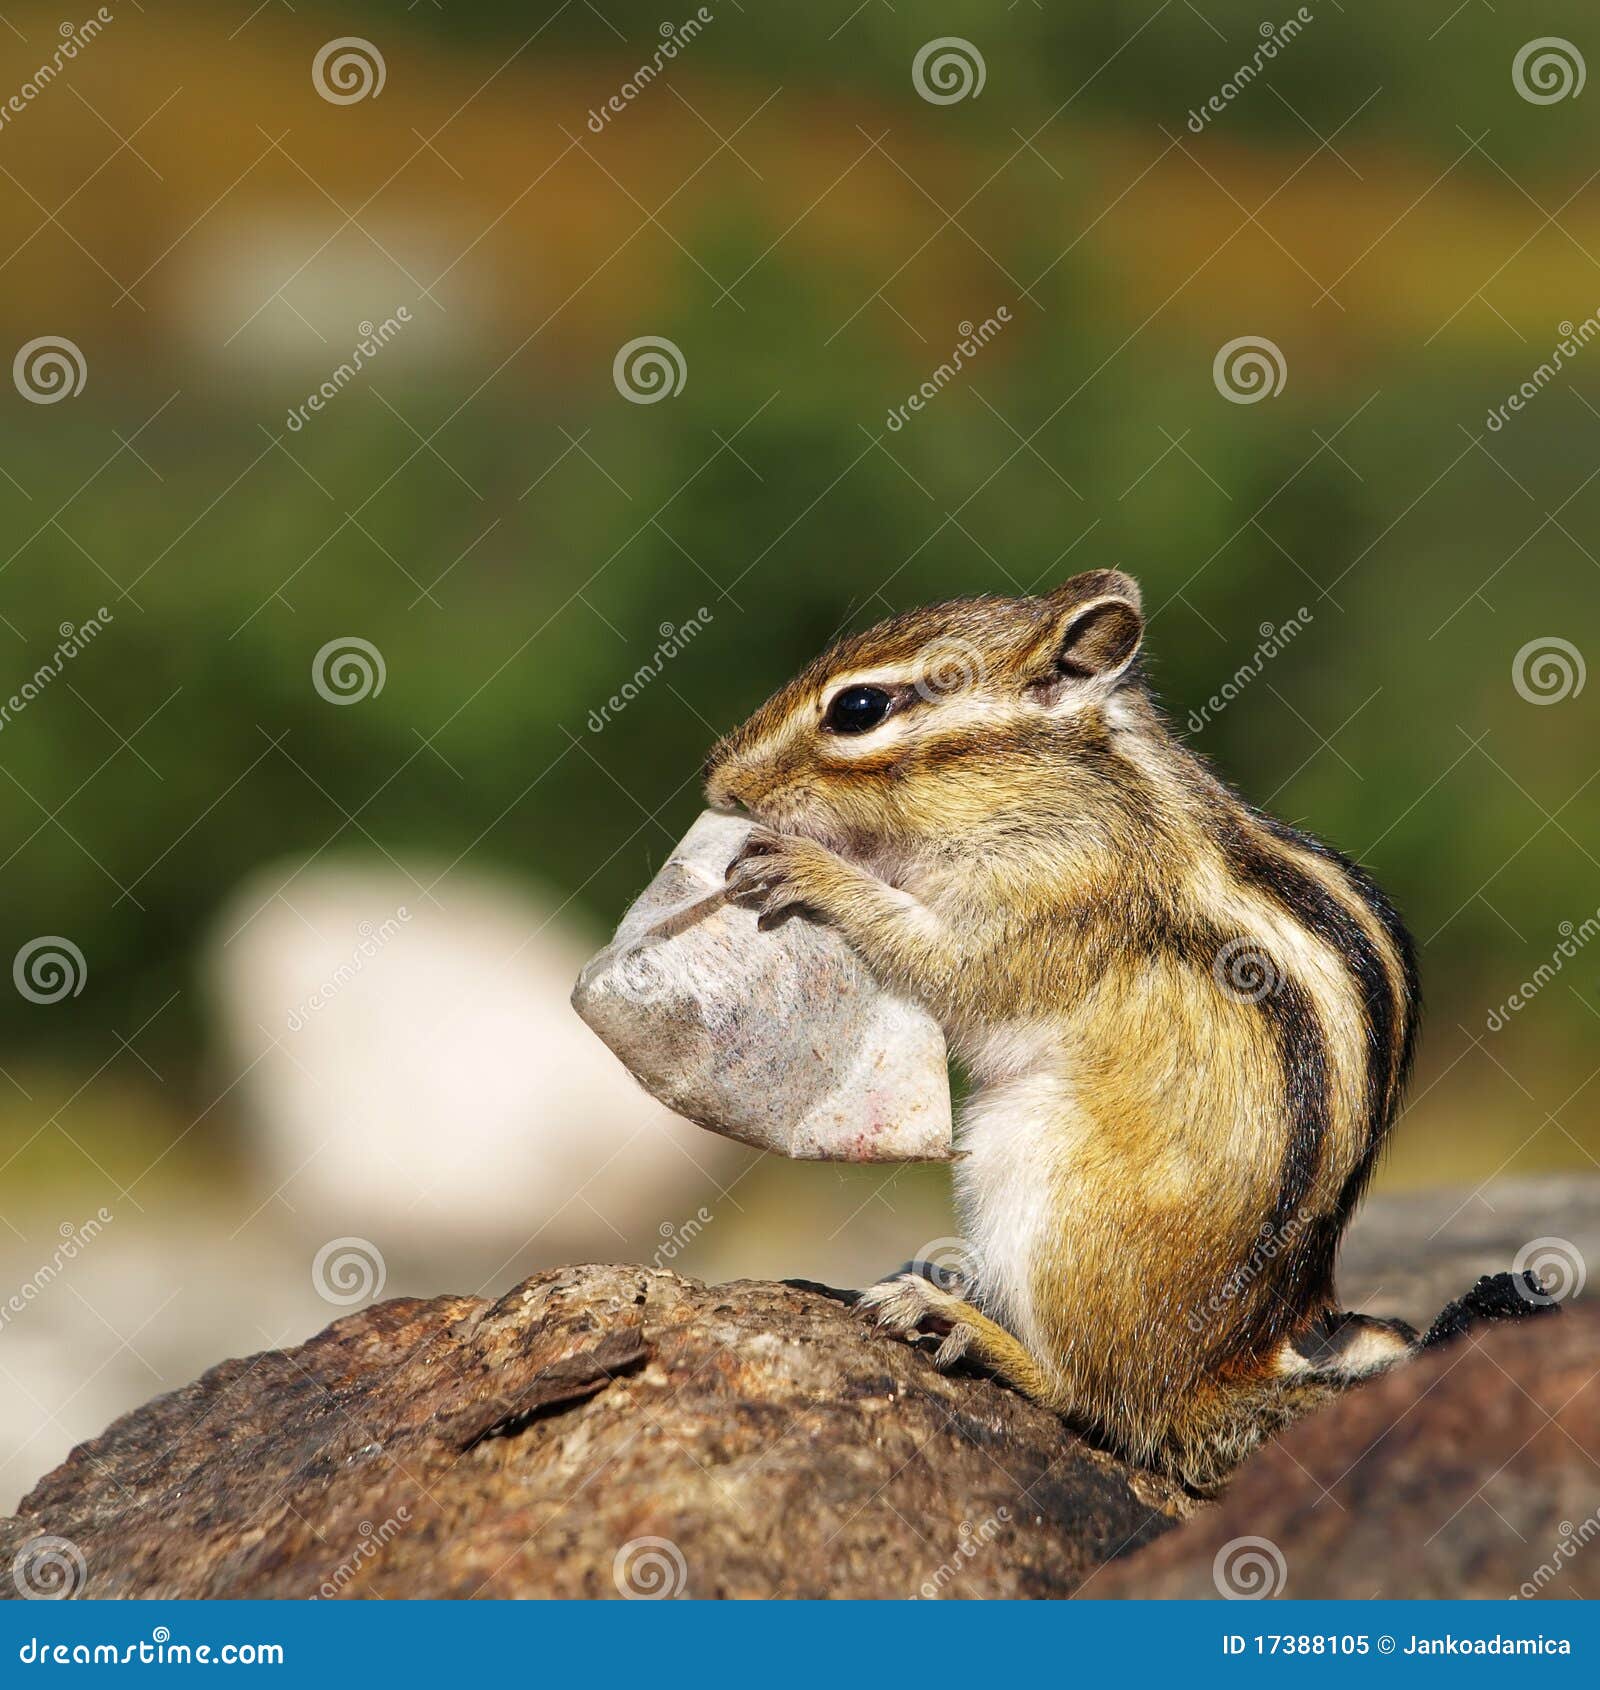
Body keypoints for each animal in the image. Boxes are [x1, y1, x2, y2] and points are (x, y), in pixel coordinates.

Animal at [702, 568, 1422, 1491]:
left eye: (858, 709)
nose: (718, 781)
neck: (1068, 785)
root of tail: (1215, 1380)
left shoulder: (1049, 898)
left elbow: (944, 965)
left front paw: (813, 869)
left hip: (1037, 1176)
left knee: (1094, 1397)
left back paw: (960, 1323)